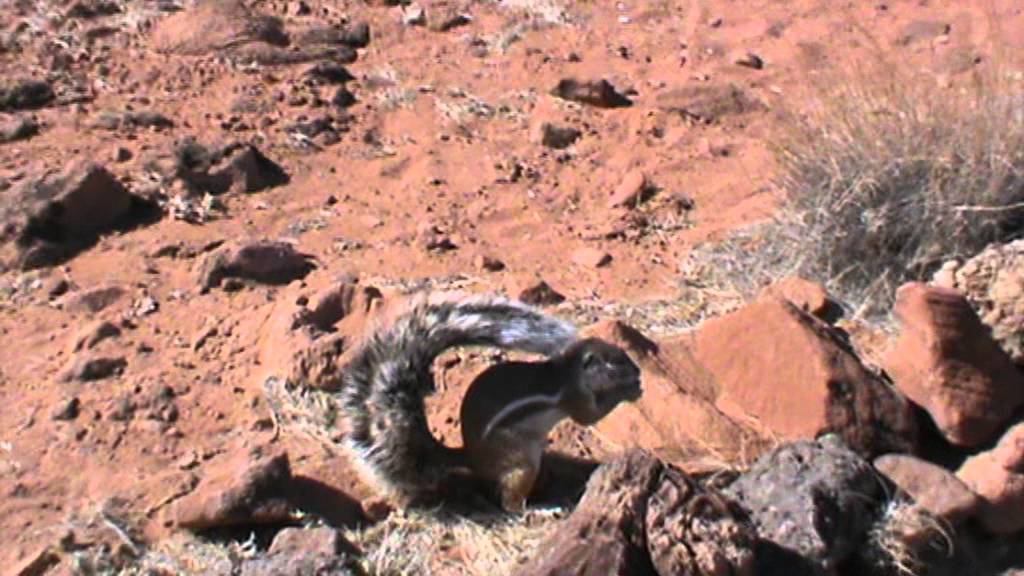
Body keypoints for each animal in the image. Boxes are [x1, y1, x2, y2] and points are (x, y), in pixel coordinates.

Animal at [339, 294, 643, 512]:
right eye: (614, 362)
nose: (638, 372)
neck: (568, 372)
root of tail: (469, 455)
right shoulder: (575, 397)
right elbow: (588, 416)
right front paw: (628, 391)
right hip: (519, 460)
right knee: (510, 503)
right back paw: (541, 508)